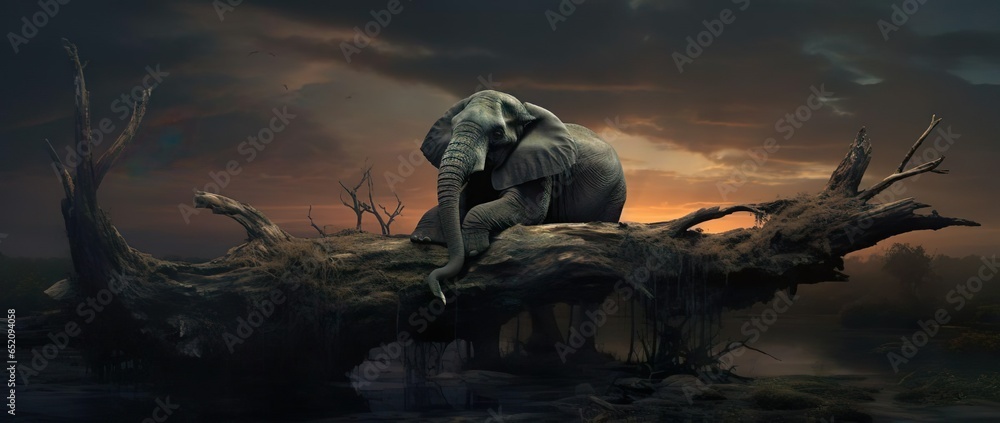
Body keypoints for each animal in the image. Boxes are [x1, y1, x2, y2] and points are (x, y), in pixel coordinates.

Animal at [411, 90, 627, 304]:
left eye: (497, 134)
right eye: (453, 125)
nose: (441, 296)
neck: (525, 112)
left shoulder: (539, 166)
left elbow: (528, 209)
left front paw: (472, 248)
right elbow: (465, 199)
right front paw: (422, 238)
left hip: (614, 194)